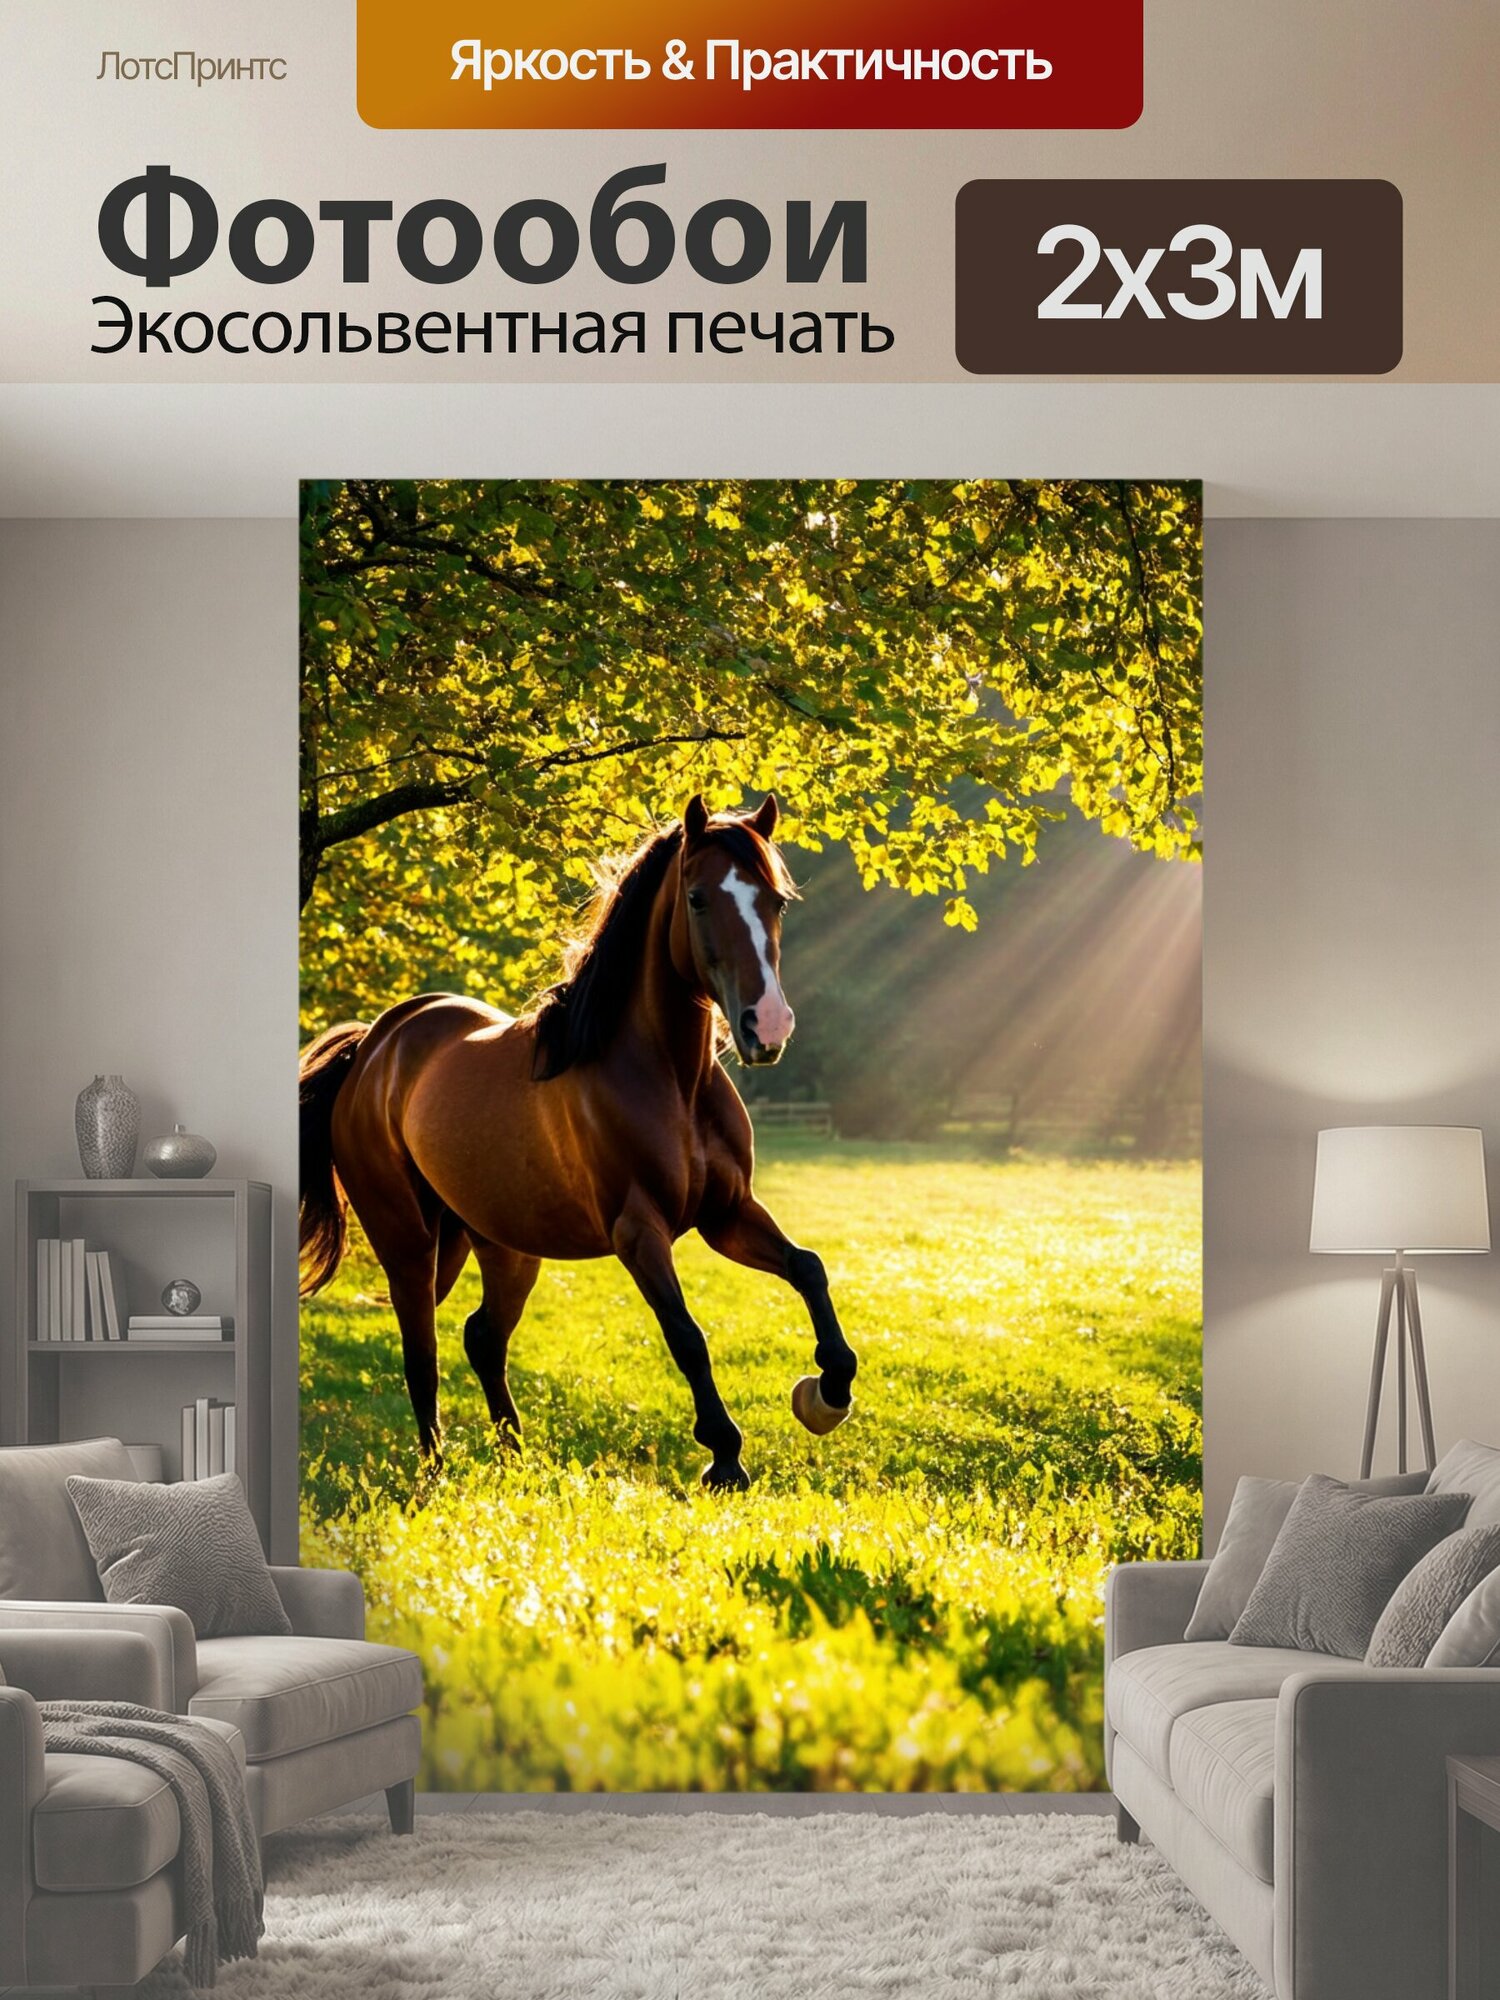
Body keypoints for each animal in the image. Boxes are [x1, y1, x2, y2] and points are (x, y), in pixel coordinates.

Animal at [298, 793, 857, 1489]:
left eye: (775, 901)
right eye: (698, 899)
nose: (767, 1027)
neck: (668, 1079)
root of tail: (373, 1046)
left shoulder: (728, 1214)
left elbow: (808, 1268)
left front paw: (827, 1393)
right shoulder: (638, 1232)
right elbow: (687, 1336)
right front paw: (724, 1457)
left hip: (501, 1243)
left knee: (482, 1338)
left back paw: (516, 1461)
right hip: (406, 1239)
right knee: (420, 1352)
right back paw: (437, 1475)